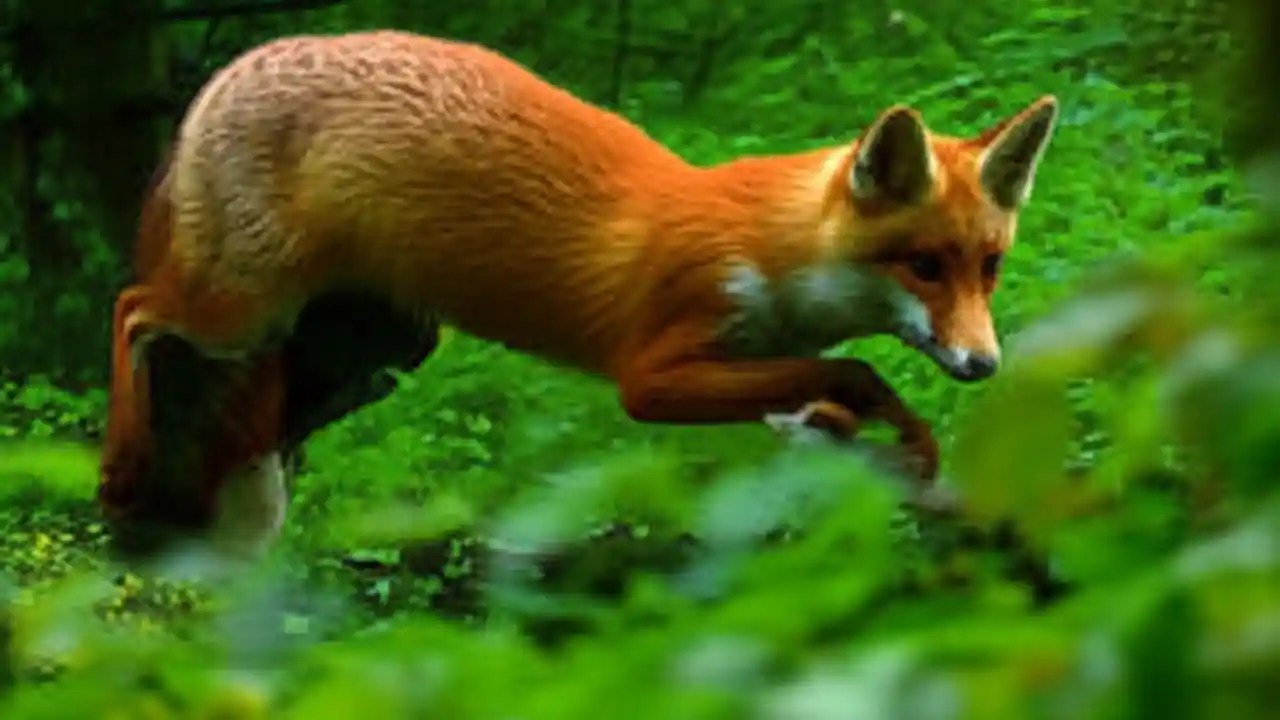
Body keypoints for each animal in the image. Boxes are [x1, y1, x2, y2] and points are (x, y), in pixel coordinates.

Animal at [100, 29, 1058, 553]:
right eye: (923, 266)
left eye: (988, 268)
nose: (984, 363)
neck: (773, 259)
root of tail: (231, 70)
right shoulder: (652, 375)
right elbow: (857, 371)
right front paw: (889, 435)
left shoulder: (763, 364)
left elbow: (846, 396)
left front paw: (893, 450)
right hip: (240, 312)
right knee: (133, 311)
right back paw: (120, 468)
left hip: (374, 351)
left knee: (253, 427)